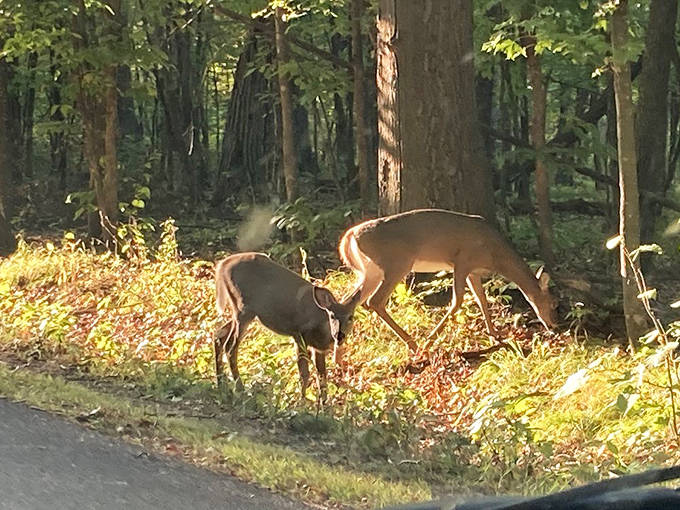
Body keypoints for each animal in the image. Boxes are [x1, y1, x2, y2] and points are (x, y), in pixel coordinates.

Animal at [214, 252, 361, 402]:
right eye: (332, 316)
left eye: (351, 317)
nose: (339, 335)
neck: (322, 331)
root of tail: (223, 265)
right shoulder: (299, 335)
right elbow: (304, 373)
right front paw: (302, 401)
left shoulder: (318, 349)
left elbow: (322, 376)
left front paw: (323, 403)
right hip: (242, 308)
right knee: (230, 347)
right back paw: (240, 389)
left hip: (243, 312)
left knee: (219, 334)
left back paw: (222, 386)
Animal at [338, 209, 558, 351]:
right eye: (553, 304)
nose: (554, 325)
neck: (495, 255)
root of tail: (350, 235)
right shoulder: (462, 261)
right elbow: (457, 301)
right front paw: (430, 340)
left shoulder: (473, 271)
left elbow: (481, 299)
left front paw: (494, 334)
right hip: (396, 264)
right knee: (374, 301)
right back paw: (414, 344)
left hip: (370, 271)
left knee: (348, 301)